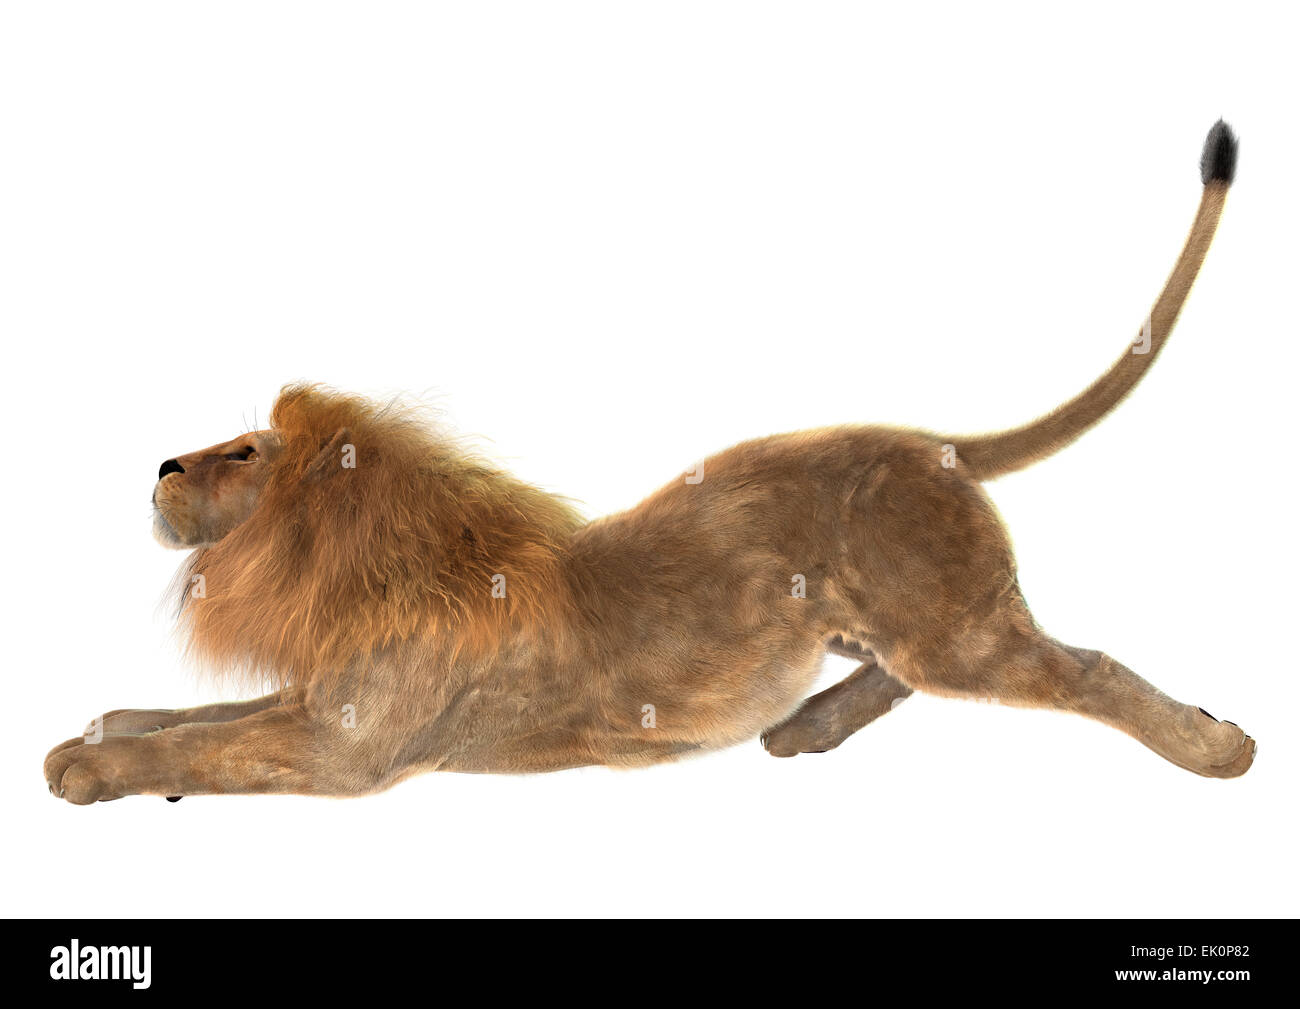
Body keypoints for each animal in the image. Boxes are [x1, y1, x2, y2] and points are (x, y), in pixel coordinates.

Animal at [44, 121, 1252, 804]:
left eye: (241, 451)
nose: (159, 464)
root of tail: (927, 441)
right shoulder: (318, 700)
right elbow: (189, 723)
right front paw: (102, 727)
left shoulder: (346, 750)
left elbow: (203, 752)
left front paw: (86, 768)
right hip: (893, 617)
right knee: (896, 671)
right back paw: (803, 726)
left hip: (959, 629)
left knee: (1080, 669)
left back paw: (1216, 751)